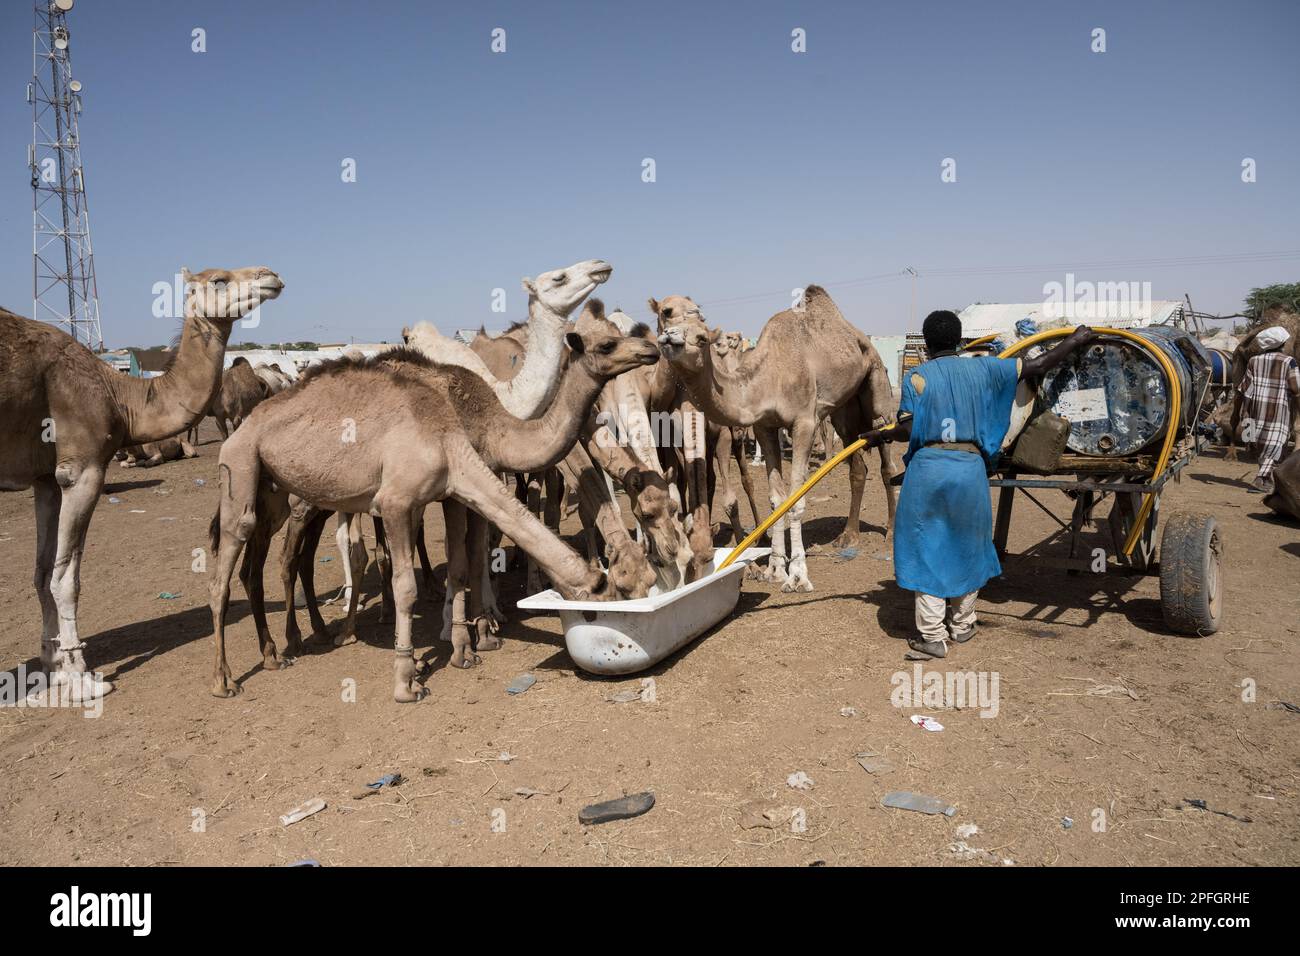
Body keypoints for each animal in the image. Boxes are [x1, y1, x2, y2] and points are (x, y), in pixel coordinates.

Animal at [0, 265, 284, 699]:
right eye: (219, 280)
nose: (271, 275)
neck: (120, 395)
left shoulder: (46, 477)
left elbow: (42, 571)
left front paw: (55, 667)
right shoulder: (82, 469)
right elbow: (66, 578)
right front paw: (81, 677)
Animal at [207, 321, 660, 701]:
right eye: (607, 344)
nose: (651, 348)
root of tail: (253, 417)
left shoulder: (460, 490)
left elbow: (466, 563)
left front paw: (474, 641)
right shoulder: (407, 500)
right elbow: (425, 577)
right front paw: (416, 673)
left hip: (278, 490)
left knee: (266, 562)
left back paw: (283, 649)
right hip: (248, 470)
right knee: (246, 564)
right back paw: (238, 672)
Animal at [656, 285, 897, 592]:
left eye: (701, 338)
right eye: (668, 319)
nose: (669, 337)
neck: (769, 379)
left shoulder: (804, 422)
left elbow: (796, 499)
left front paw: (798, 576)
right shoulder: (765, 428)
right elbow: (777, 500)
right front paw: (775, 569)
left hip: (877, 386)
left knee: (886, 458)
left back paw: (890, 532)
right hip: (845, 409)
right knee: (857, 466)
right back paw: (848, 535)